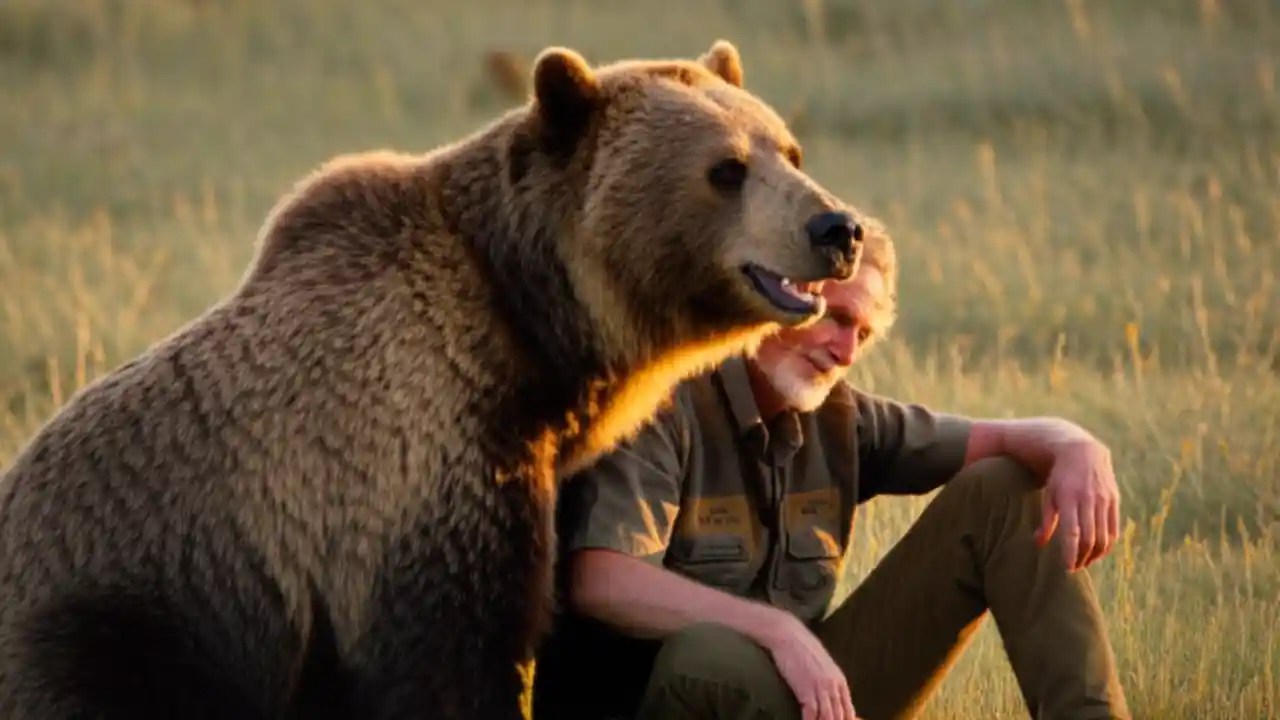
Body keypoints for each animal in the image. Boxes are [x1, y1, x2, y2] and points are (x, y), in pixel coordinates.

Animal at [0, 40, 865, 720]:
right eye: (726, 169)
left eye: (789, 151)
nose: (837, 227)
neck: (529, 331)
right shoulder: (408, 470)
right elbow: (456, 653)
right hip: (117, 620)